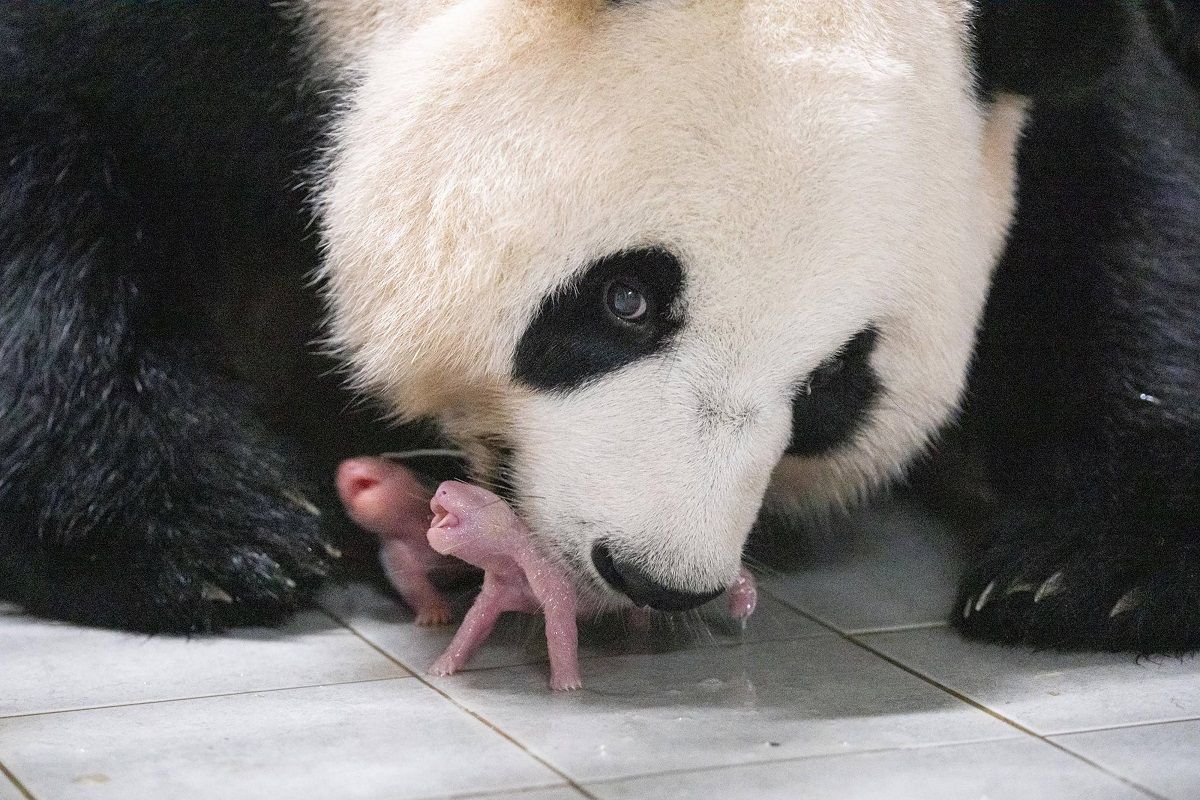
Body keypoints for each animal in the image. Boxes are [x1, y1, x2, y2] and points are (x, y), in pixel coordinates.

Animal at [1, 1, 1197, 654]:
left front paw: (1093, 567)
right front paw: (199, 533)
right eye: (626, 300)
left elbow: (1125, 203)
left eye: (834, 386)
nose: (657, 574)